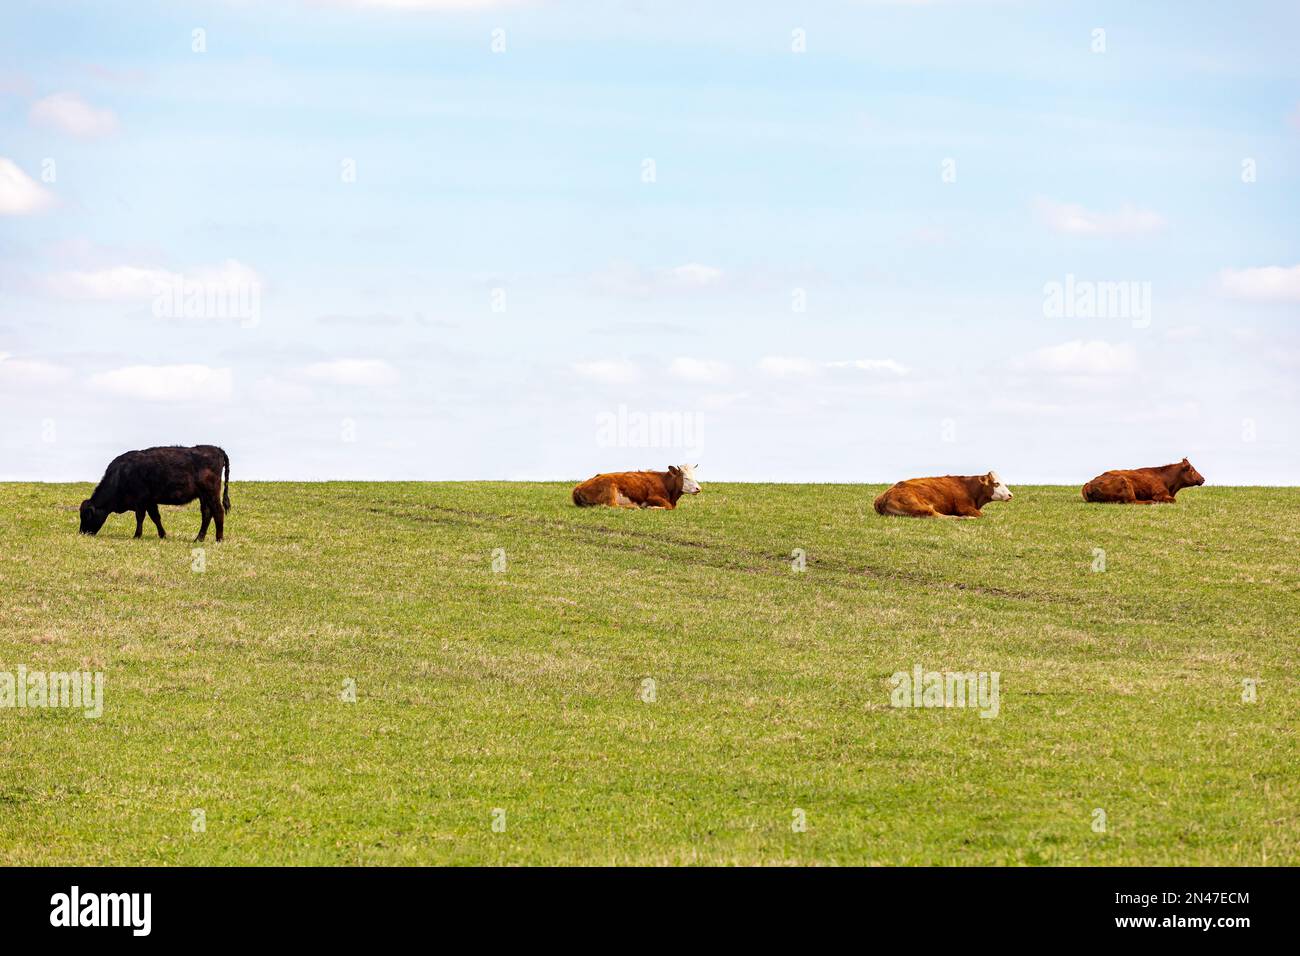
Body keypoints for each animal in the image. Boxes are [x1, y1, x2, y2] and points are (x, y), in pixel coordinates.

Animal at [79, 444, 232, 541]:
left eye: (87, 515)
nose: (82, 533)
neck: (122, 474)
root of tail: (217, 449)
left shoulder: (141, 501)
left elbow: (140, 517)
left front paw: (137, 535)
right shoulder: (150, 501)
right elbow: (155, 517)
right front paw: (163, 535)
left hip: (211, 493)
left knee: (218, 511)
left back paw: (219, 539)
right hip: (203, 496)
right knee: (207, 513)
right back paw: (198, 539)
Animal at [577, 463, 707, 509]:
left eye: (694, 476)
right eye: (685, 478)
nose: (698, 488)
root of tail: (578, 487)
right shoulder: (652, 497)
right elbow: (669, 506)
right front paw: (652, 507)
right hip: (610, 488)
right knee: (611, 505)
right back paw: (634, 507)